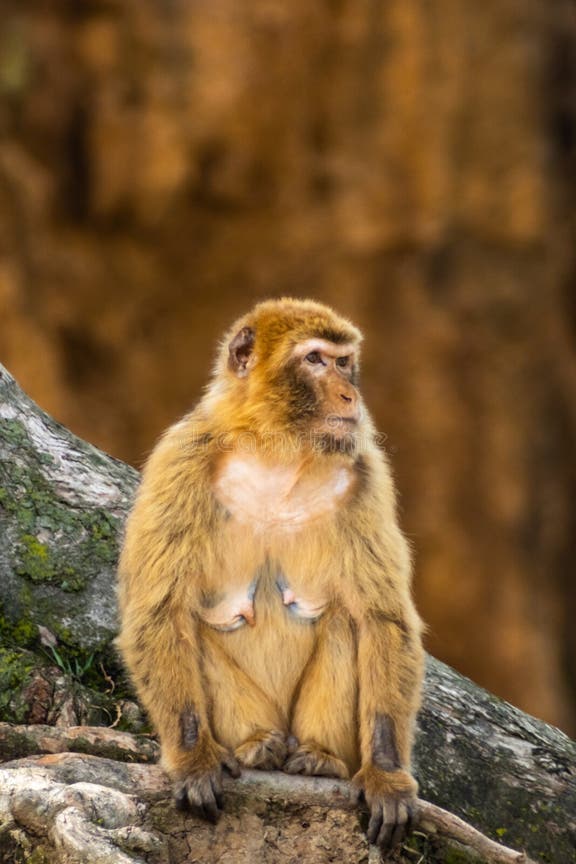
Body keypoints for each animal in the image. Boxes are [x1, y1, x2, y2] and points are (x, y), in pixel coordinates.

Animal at [117, 298, 424, 854]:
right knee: (192, 628)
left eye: (344, 362)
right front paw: (192, 760)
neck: (276, 449)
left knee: (346, 621)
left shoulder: (365, 473)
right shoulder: (181, 457)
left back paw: (320, 757)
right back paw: (256, 746)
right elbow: (160, 613)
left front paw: (387, 776)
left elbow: (381, 619)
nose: (350, 394)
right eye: (315, 360)